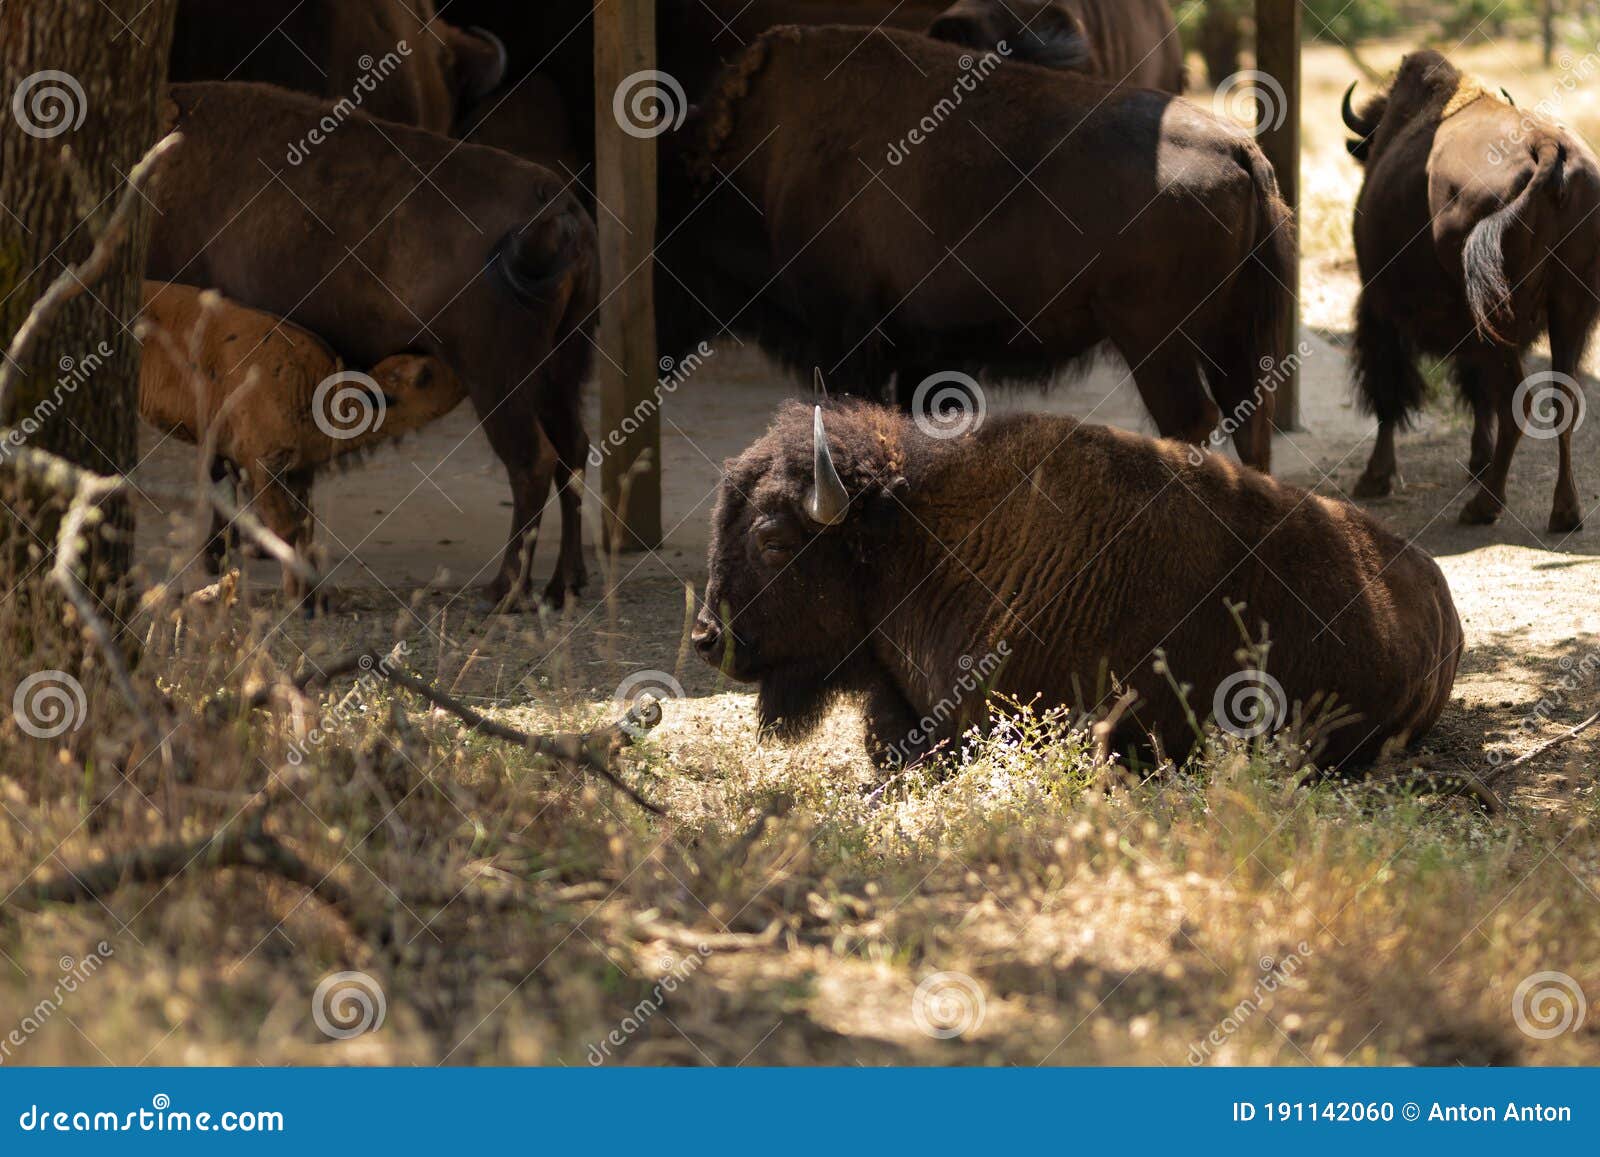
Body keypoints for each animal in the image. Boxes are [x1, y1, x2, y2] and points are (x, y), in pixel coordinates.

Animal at [147, 82, 598, 605]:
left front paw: (221, 553)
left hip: (499, 380)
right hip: (560, 369)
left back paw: (504, 590)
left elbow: (223, 466)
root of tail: (559, 209)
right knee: (573, 450)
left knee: (532, 461)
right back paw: (565, 583)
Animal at [660, 26, 1291, 470]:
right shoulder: (917, 353)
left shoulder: (847, 337)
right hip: (1227, 338)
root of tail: (1241, 150)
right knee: (1249, 425)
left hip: (1155, 340)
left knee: (1191, 420)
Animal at [1343, 51, 1600, 531]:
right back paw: (1564, 511)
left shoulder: (1380, 310)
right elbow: (1479, 393)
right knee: (1562, 400)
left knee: (1519, 400)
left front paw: (1374, 477)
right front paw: (1478, 461)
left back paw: (1484, 506)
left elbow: (1389, 392)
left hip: (1499, 321)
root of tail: (1546, 148)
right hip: (1569, 313)